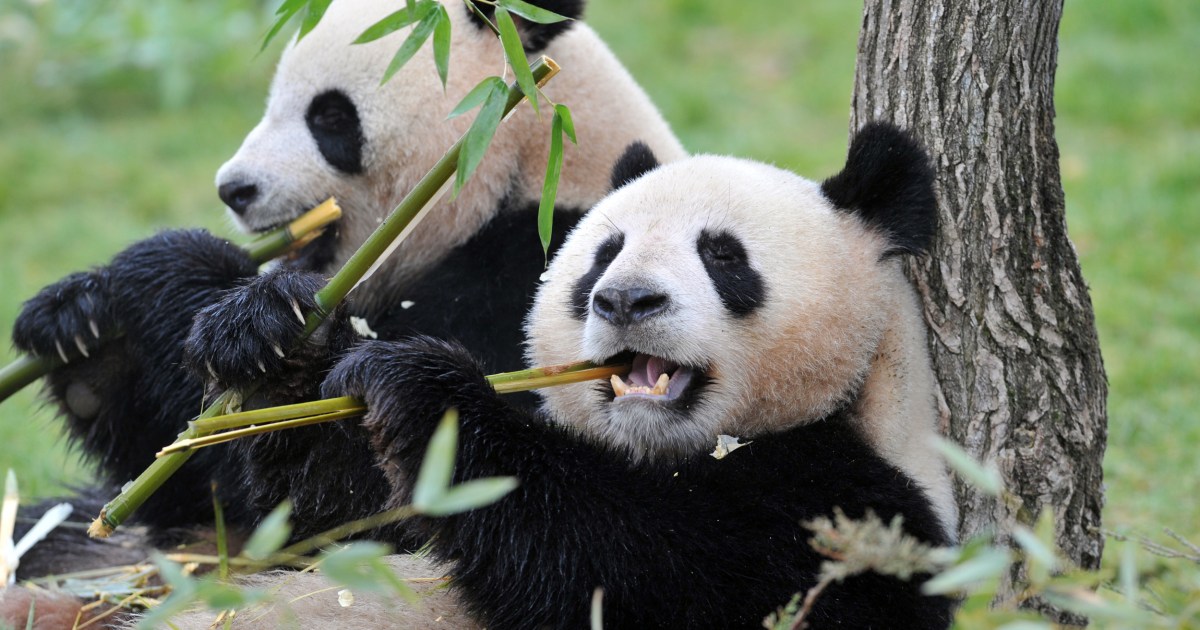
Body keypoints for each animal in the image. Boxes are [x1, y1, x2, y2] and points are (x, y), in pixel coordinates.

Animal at [8, 0, 684, 550]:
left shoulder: (534, 278)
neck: (529, 161)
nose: (235, 189)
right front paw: (78, 321)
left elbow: (370, 500)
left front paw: (252, 324)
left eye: (330, 117)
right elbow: (203, 495)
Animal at [142, 123, 955, 629]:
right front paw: (273, 335)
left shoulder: (847, 506)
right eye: (603, 254)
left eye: (723, 256)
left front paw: (426, 388)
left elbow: (633, 569)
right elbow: (342, 518)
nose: (626, 299)